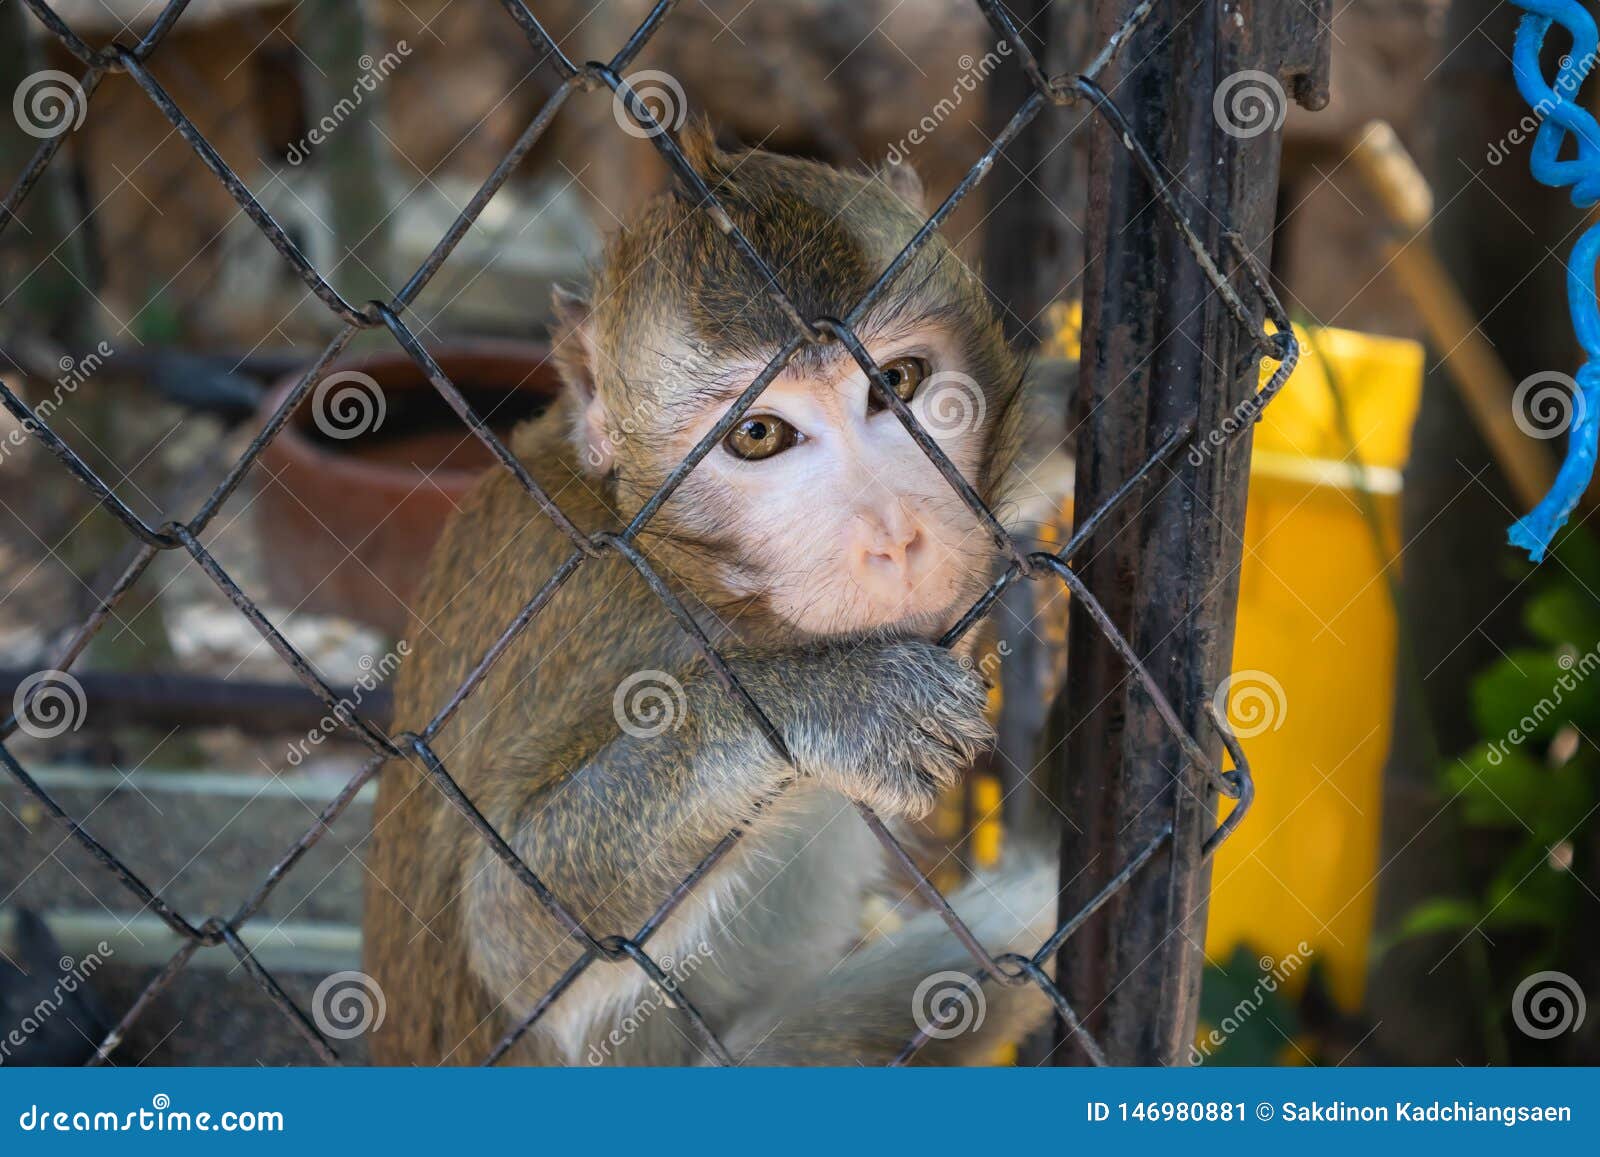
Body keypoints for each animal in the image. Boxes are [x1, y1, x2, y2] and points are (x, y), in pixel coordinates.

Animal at [363, 125, 1060, 1066]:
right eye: (759, 433)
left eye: (899, 382)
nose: (896, 536)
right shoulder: (609, 613)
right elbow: (518, 931)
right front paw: (836, 701)